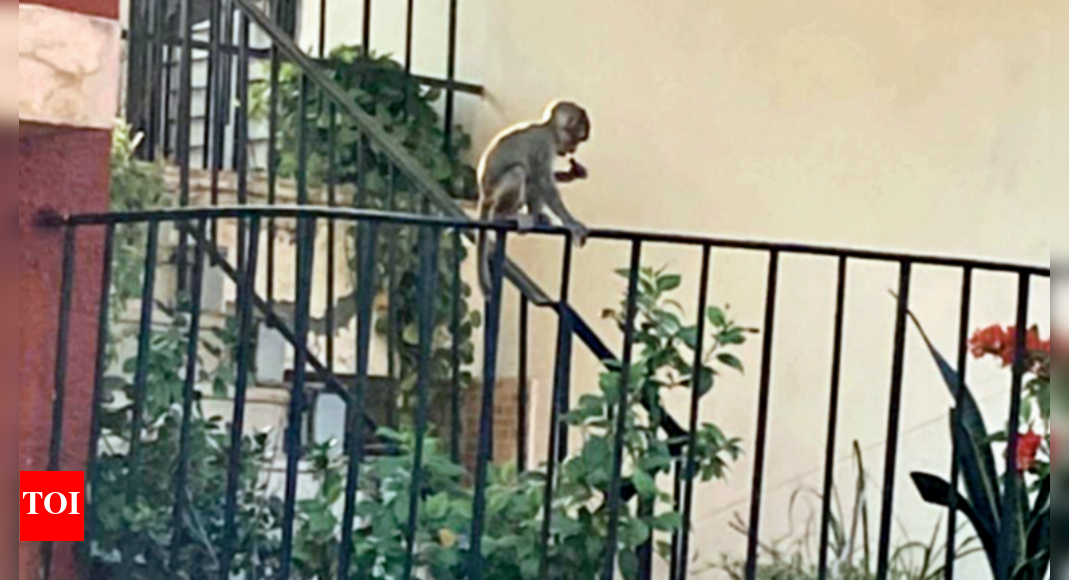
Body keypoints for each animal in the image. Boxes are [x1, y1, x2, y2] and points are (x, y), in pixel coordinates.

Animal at [476, 101, 593, 296]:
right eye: (577, 139)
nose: (573, 149)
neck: (548, 129)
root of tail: (484, 194)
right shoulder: (544, 145)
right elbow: (543, 180)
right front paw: (572, 223)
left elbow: (540, 181)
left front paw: (572, 174)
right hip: (494, 190)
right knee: (519, 172)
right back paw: (503, 215)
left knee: (529, 179)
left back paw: (535, 215)